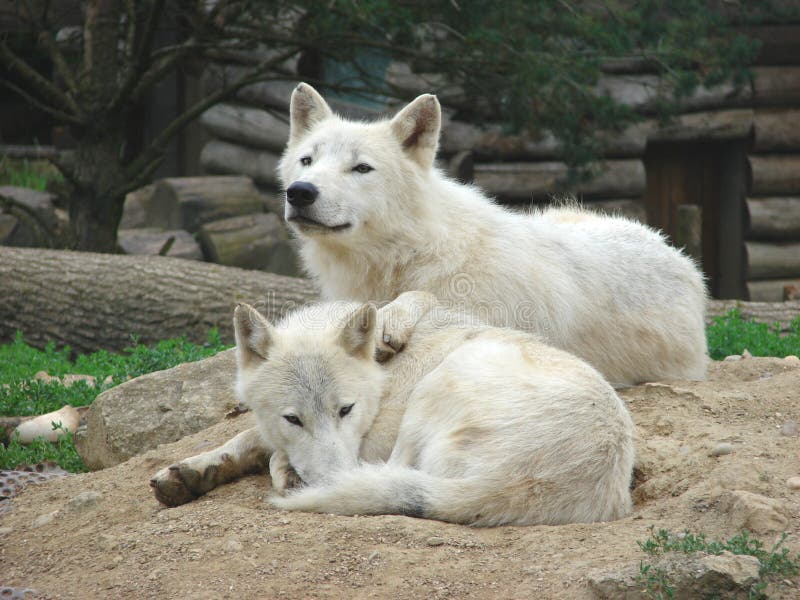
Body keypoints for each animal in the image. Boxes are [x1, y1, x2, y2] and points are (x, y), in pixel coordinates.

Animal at [151, 292, 635, 527]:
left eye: (346, 409)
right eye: (293, 418)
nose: (328, 479)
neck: (382, 380)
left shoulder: (370, 440)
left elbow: (260, 443)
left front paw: (281, 469)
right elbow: (248, 436)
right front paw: (192, 472)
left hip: (440, 384)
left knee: (394, 472)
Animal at [278, 83, 708, 387]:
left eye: (362, 168)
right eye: (307, 160)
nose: (300, 192)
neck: (405, 255)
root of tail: (676, 253)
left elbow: (426, 297)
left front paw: (392, 319)